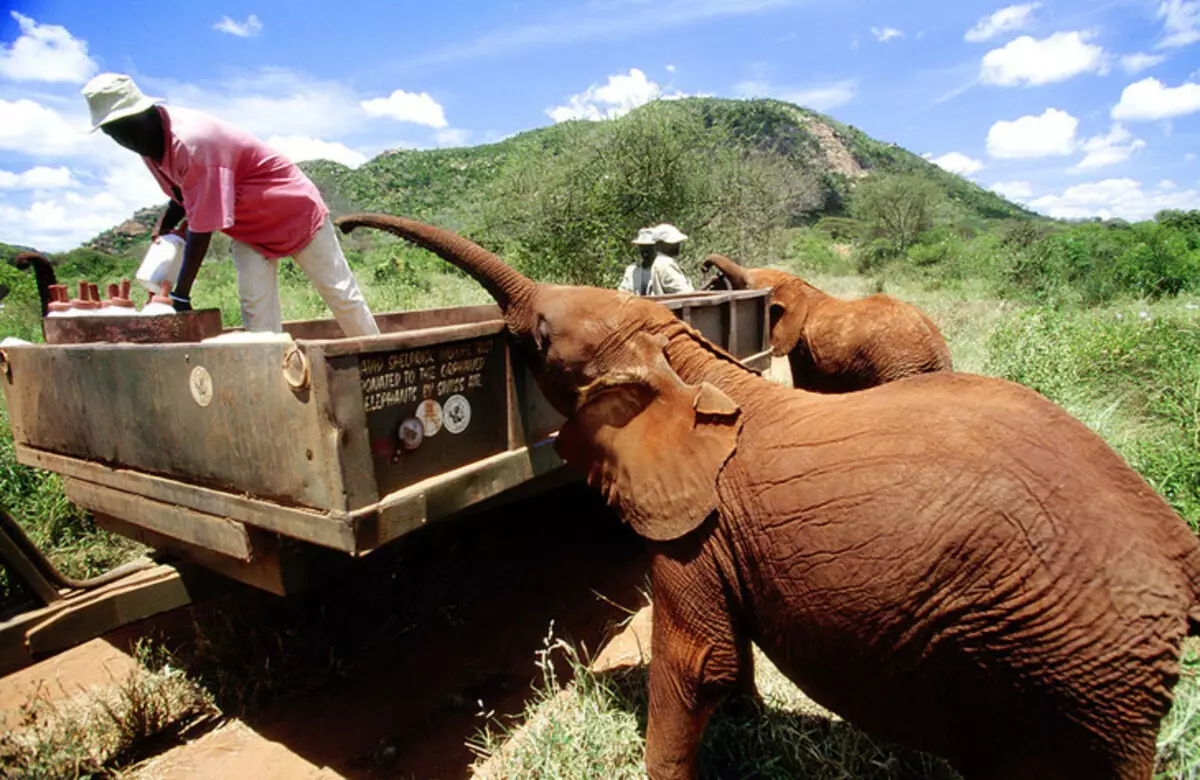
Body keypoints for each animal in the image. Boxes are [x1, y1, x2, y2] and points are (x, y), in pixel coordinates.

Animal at [700, 253, 945, 391]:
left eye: (745, 284)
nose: (705, 268)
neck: (801, 289)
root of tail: (935, 351)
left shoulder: (802, 350)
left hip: (897, 366)